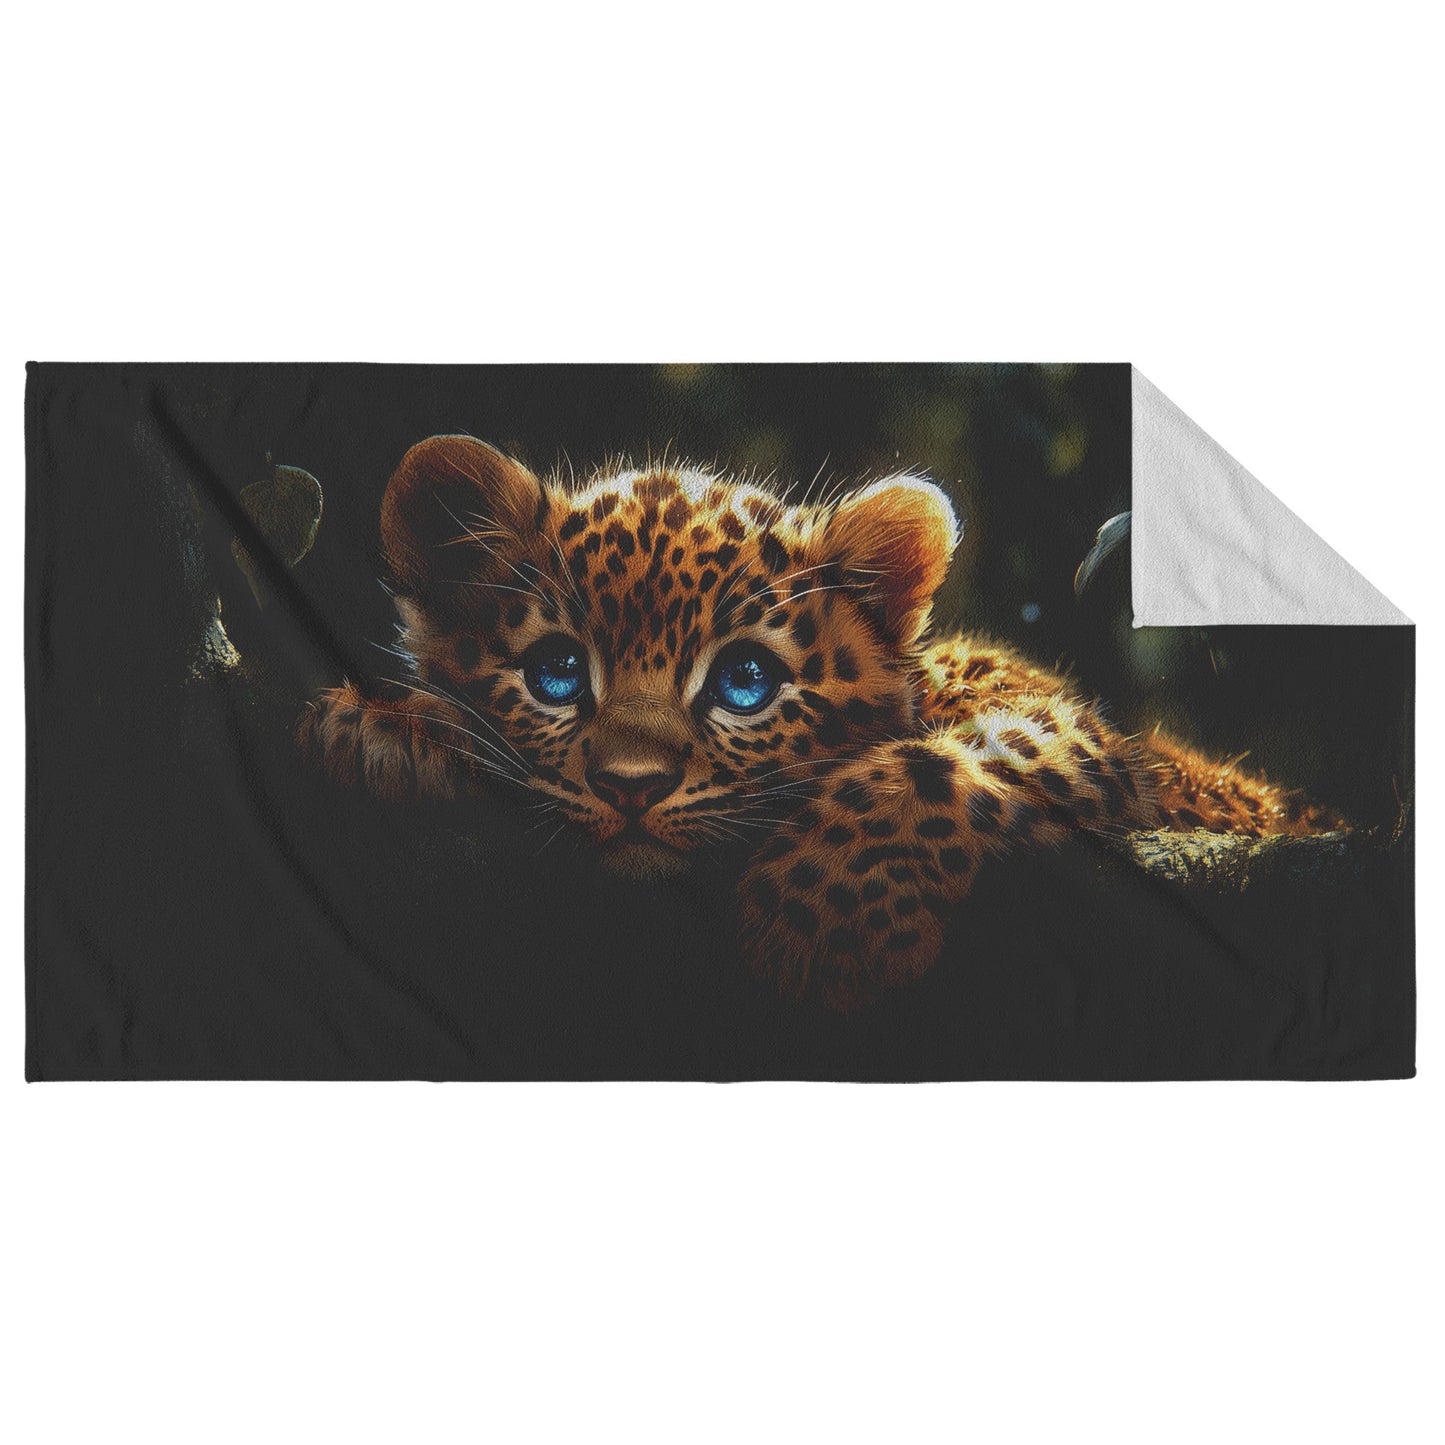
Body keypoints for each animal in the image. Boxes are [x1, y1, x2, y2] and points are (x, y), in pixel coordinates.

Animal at [299, 435, 1343, 1010]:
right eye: (555, 672)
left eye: (745, 681)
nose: (632, 787)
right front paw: (386, 725)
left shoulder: (1082, 738)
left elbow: (940, 760)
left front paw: (826, 920)